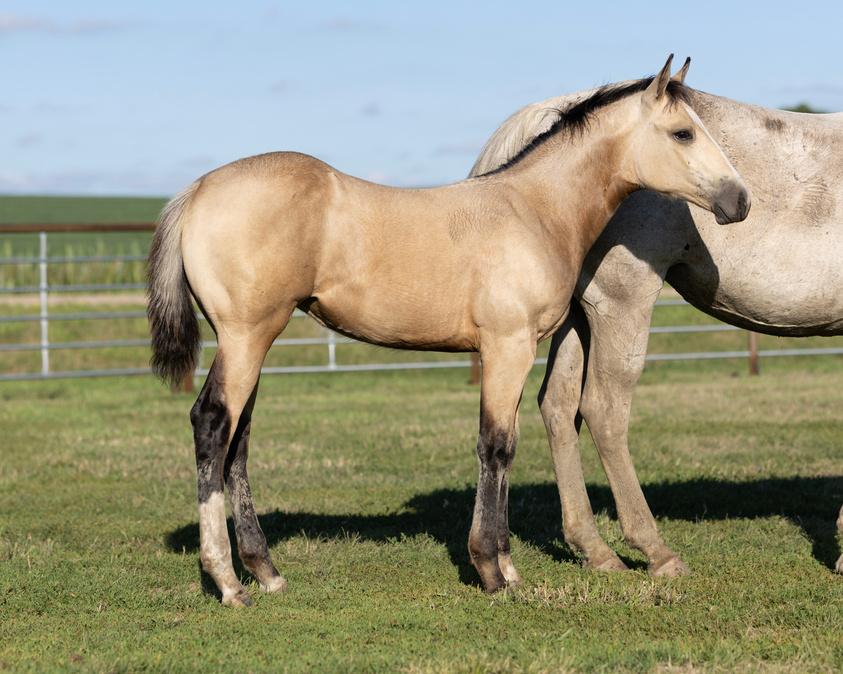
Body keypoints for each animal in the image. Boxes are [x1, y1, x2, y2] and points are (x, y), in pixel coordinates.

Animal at [147, 56, 749, 606]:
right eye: (682, 132)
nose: (739, 200)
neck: (534, 210)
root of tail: (197, 189)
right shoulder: (507, 345)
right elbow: (496, 445)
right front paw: (491, 571)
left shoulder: (514, 351)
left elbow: (506, 444)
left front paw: (505, 567)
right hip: (246, 337)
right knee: (213, 425)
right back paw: (228, 583)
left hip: (251, 340)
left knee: (239, 440)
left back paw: (266, 572)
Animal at [471, 61, 843, 577]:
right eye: (683, 133)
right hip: (621, 306)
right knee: (604, 409)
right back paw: (655, 550)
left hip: (579, 317)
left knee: (558, 406)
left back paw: (595, 550)